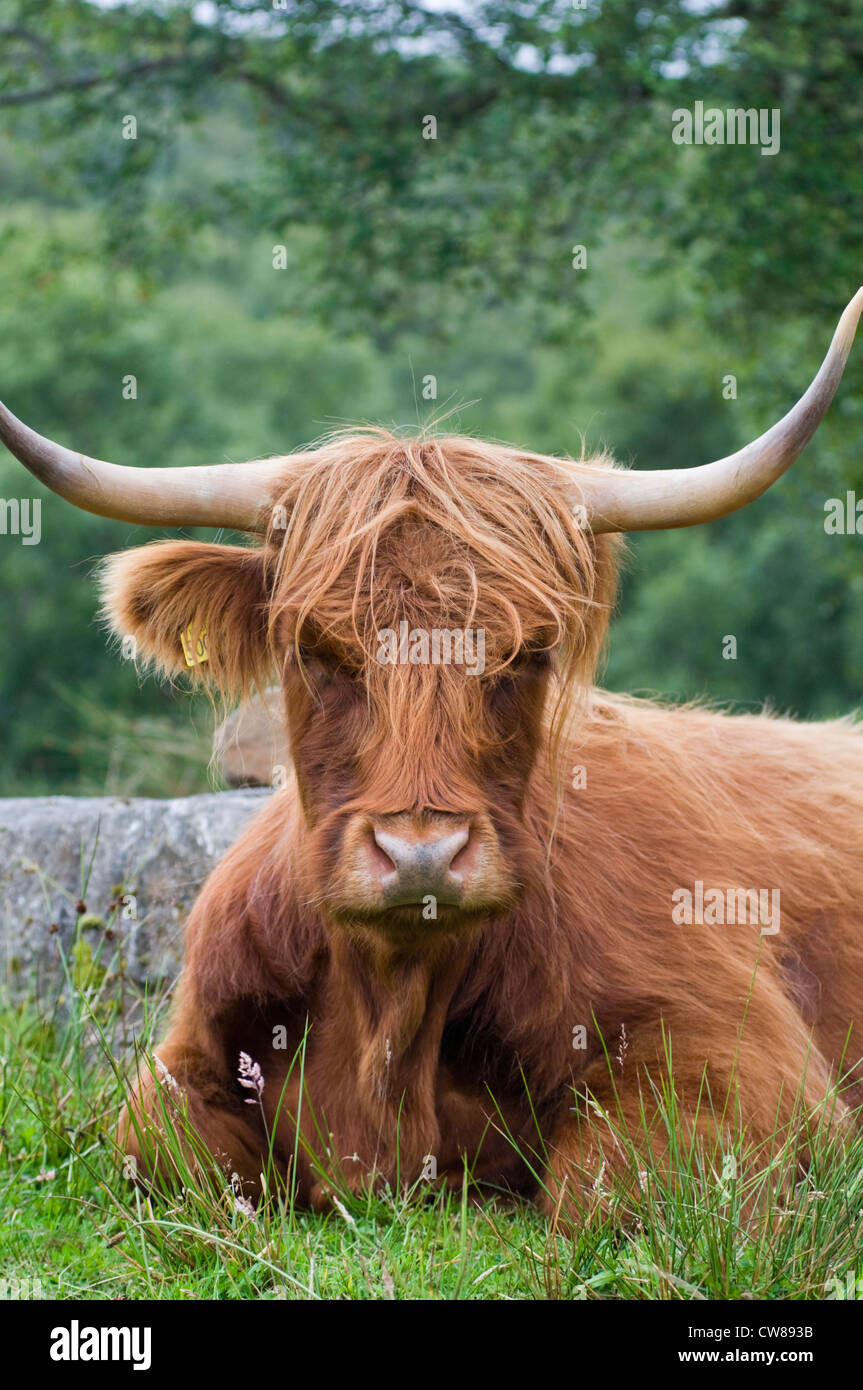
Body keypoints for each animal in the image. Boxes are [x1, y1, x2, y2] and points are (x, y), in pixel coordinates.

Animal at [3, 291, 863, 1222]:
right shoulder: (186, 1062)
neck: (391, 1006)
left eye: (526, 654)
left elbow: (608, 1187)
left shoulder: (738, 1064)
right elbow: (165, 1155)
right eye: (317, 652)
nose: (421, 854)